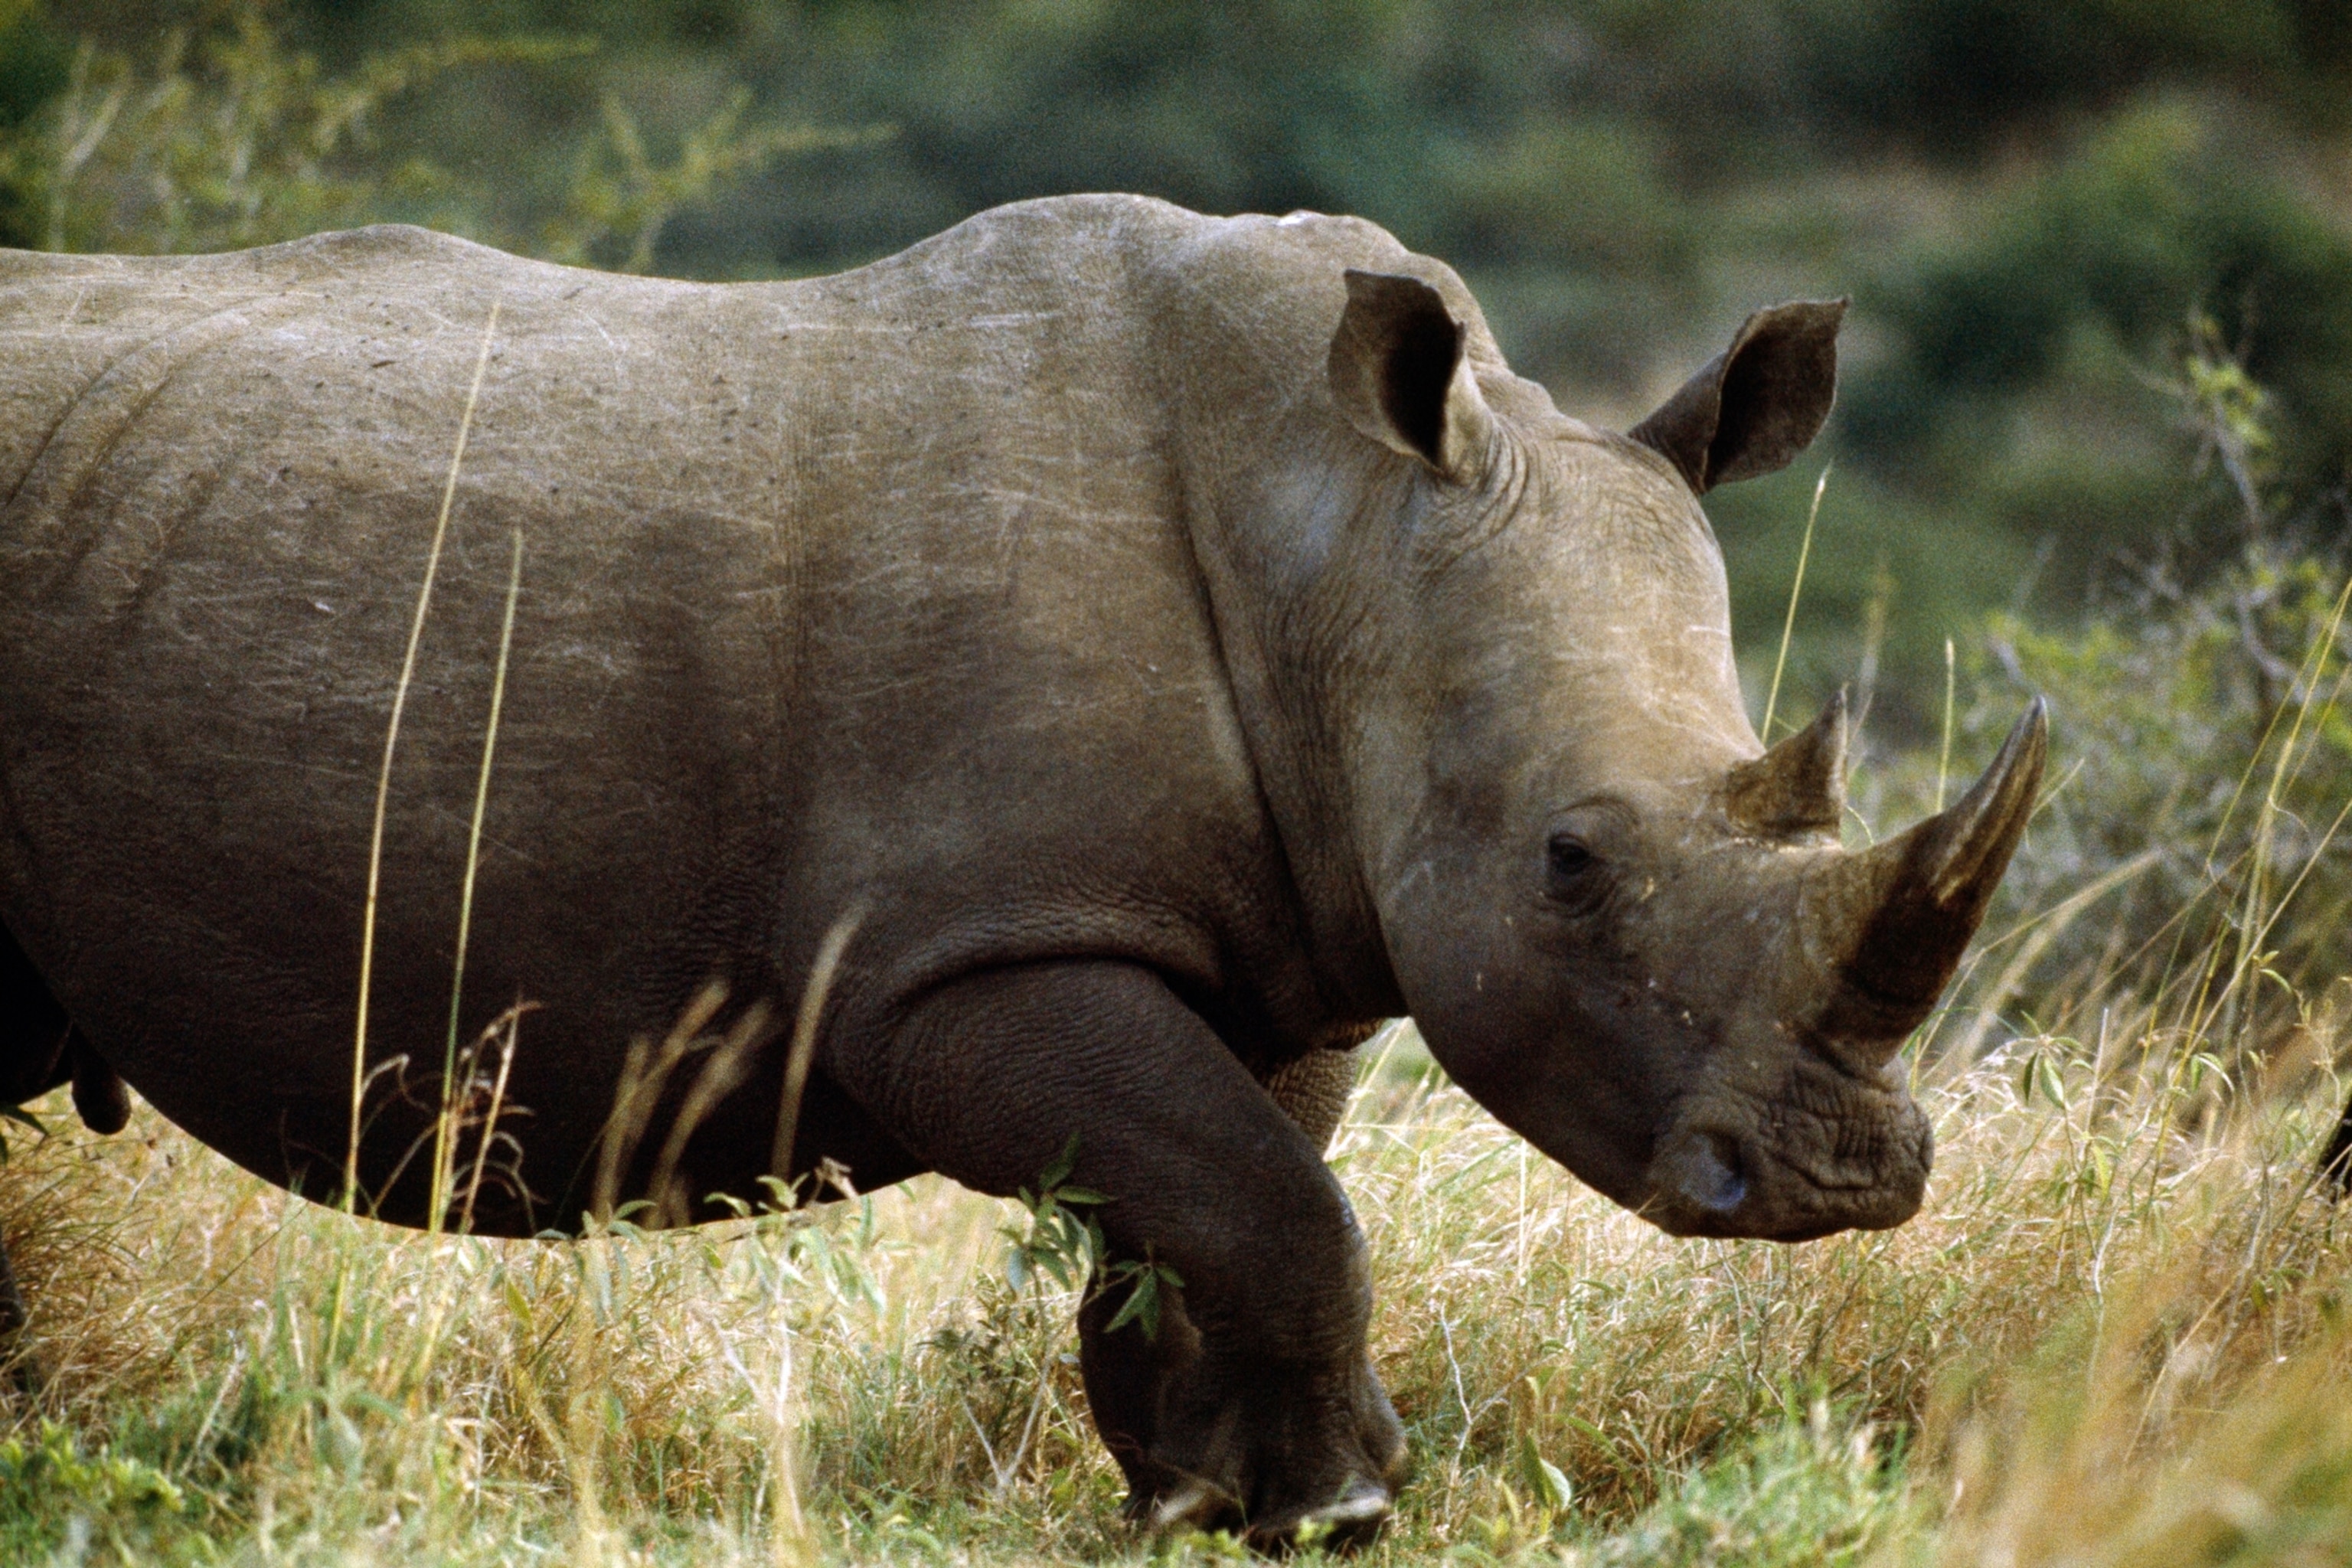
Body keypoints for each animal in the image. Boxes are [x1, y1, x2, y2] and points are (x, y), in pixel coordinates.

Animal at [0, 194, 2042, 1540]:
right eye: (1569, 862)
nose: (1842, 1178)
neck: (1340, 541)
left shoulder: (1283, 947)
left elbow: (1217, 1209)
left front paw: (1218, 1496)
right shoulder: (955, 963)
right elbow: (1273, 1210)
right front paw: (1343, 1500)